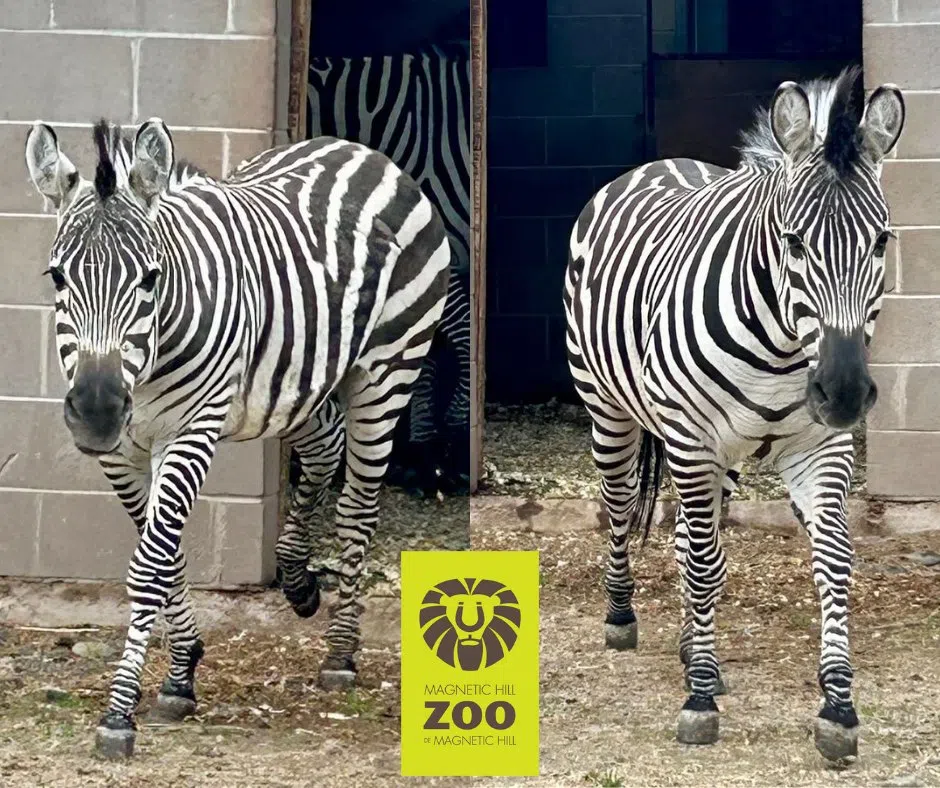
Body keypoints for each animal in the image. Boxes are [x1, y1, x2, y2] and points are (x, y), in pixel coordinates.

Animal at [24, 118, 450, 758]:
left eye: (151, 277)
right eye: (57, 276)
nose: (97, 413)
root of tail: (358, 150)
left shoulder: (192, 426)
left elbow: (150, 563)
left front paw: (119, 713)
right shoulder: (123, 454)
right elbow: (165, 552)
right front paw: (181, 671)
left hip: (386, 369)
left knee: (356, 507)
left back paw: (341, 652)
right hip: (294, 378)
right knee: (324, 448)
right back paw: (297, 580)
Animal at [564, 67, 904, 761]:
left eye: (881, 241)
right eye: (793, 242)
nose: (844, 394)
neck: (782, 349)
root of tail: (659, 162)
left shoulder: (818, 447)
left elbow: (832, 560)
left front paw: (838, 707)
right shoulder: (692, 439)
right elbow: (703, 564)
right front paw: (697, 700)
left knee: (689, 535)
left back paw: (696, 651)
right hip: (609, 410)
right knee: (622, 506)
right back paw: (622, 617)